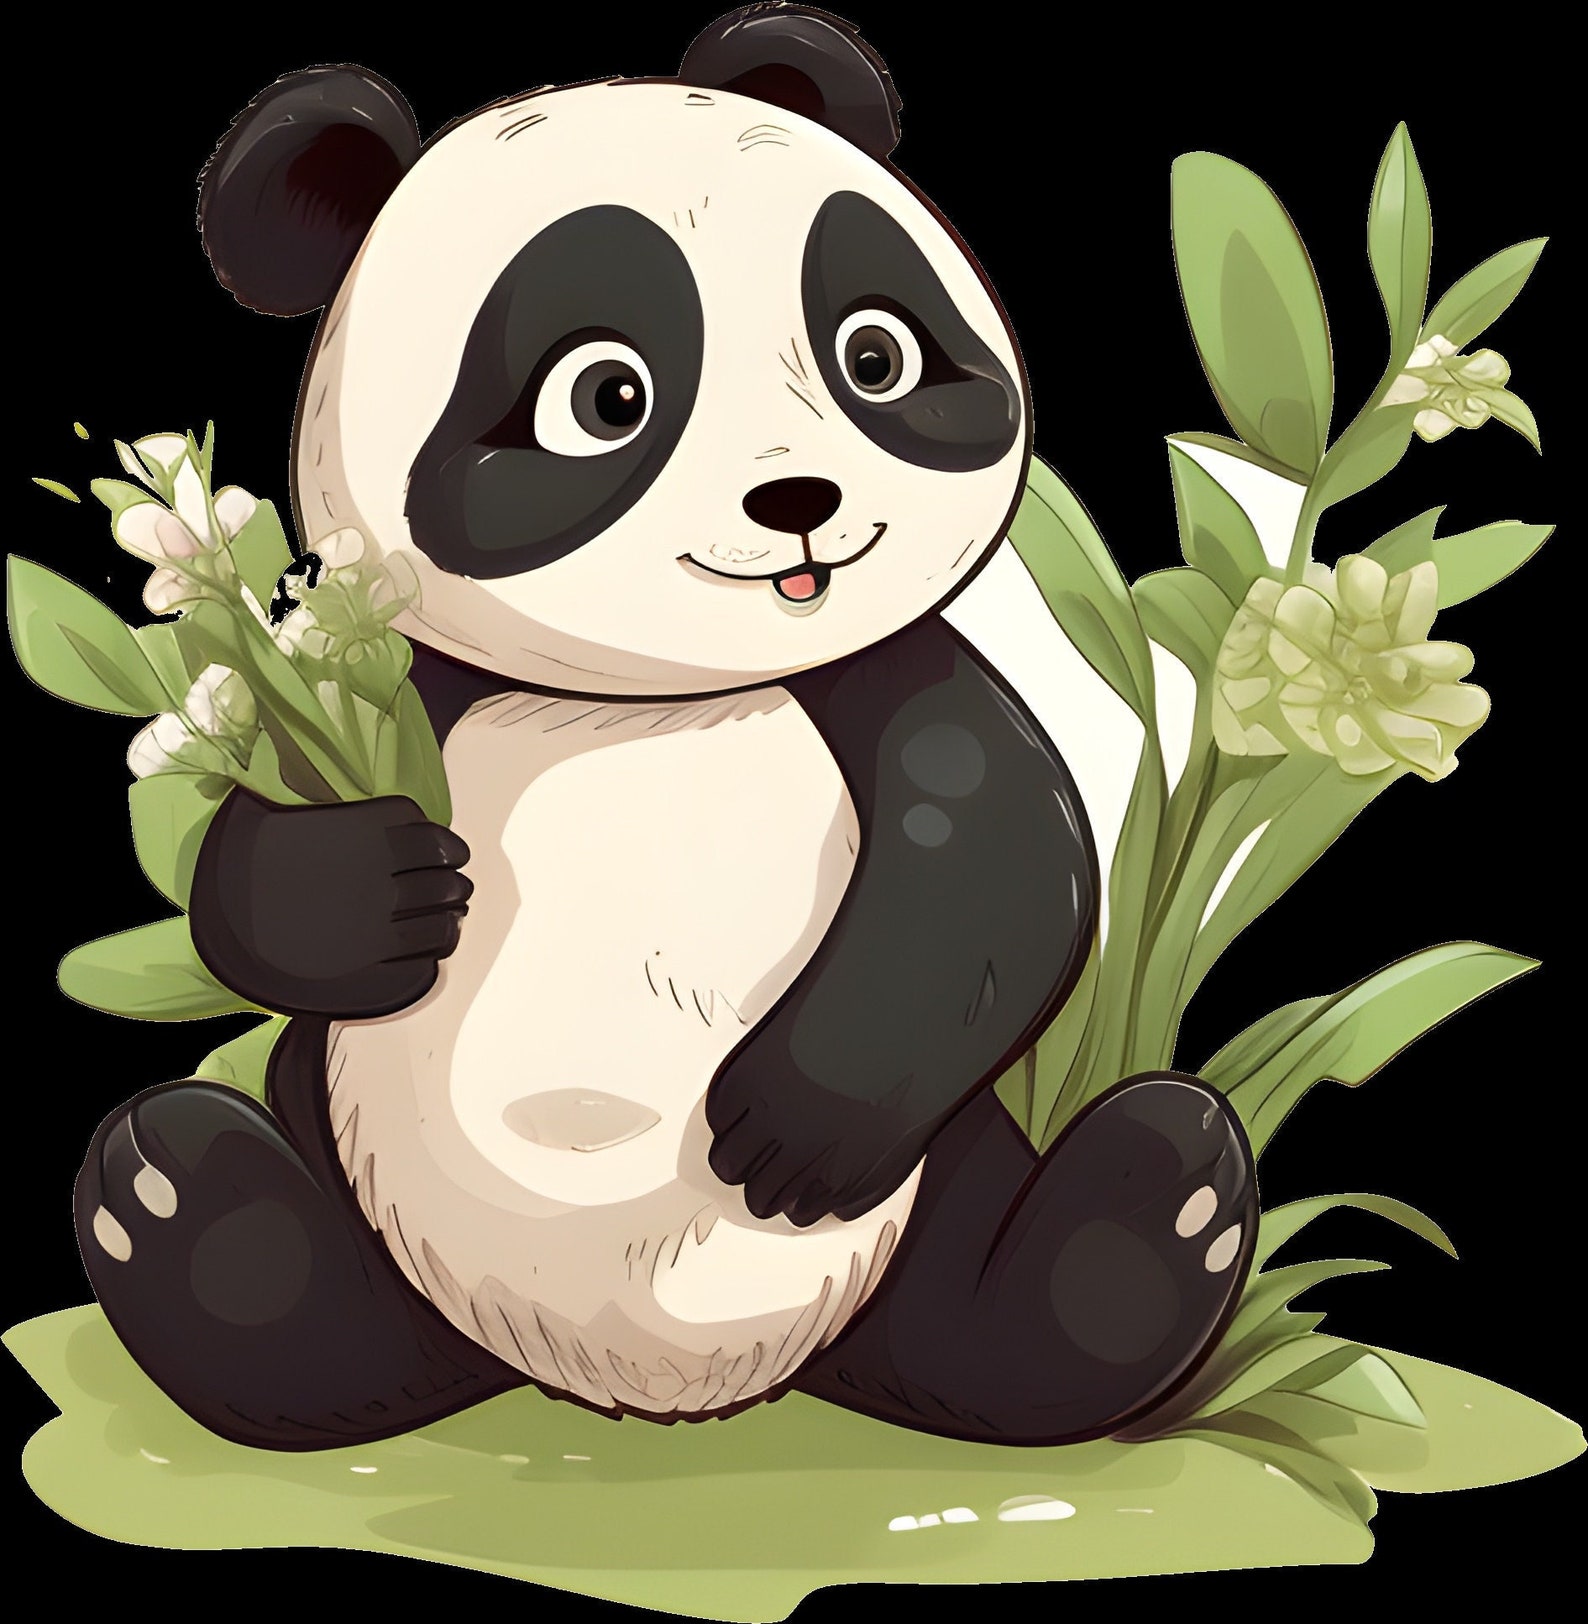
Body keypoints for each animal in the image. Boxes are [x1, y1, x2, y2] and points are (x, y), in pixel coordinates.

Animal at [75, 4, 1257, 1450]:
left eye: (876, 355)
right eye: (606, 397)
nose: (800, 502)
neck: (654, 701)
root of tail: (655, 1393)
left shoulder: (884, 678)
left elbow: (999, 850)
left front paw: (796, 1123)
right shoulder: (401, 693)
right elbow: (250, 875)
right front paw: (381, 889)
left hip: (935, 1184)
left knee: (991, 1317)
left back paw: (1160, 1210)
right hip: (364, 1170)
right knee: (323, 1330)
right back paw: (181, 1209)